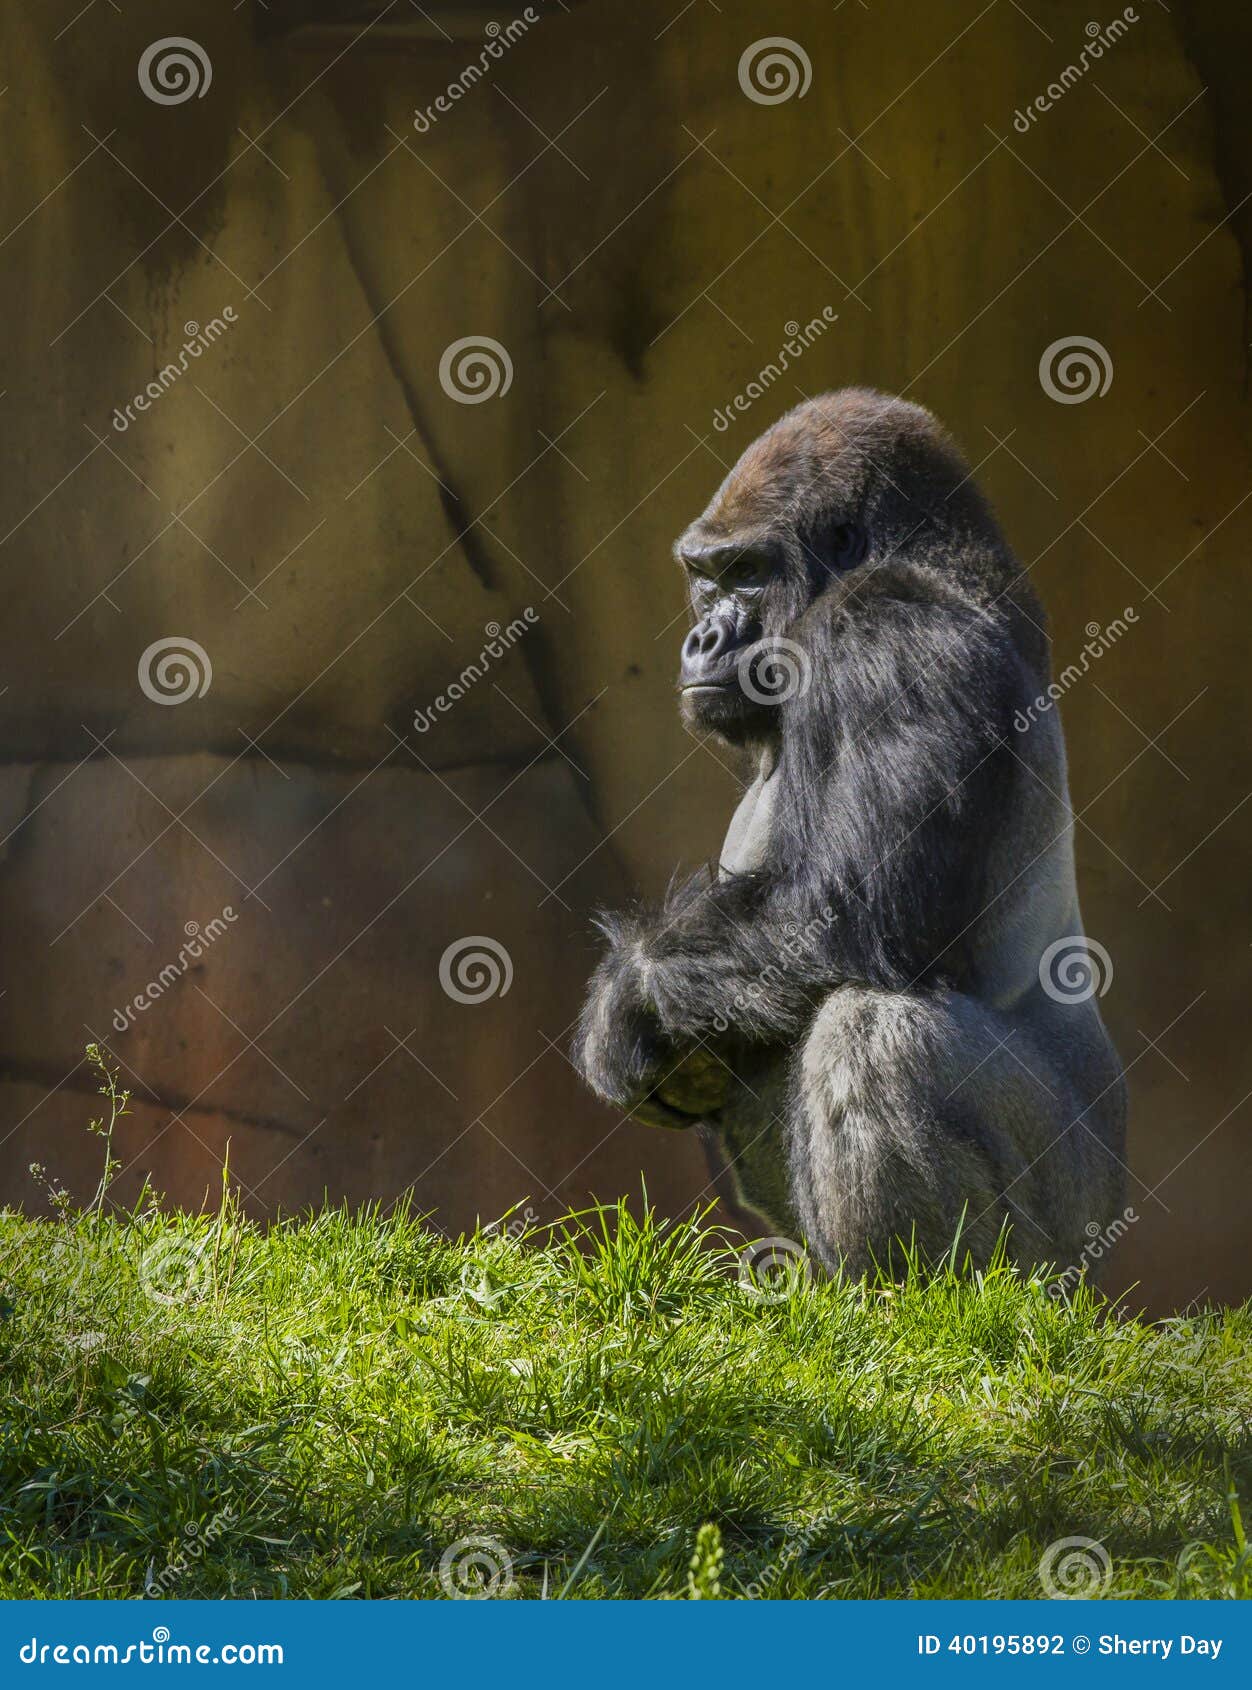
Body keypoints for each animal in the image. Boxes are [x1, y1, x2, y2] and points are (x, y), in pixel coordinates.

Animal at [574, 388, 1127, 1278]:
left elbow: (848, 916)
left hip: (1068, 1235)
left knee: (870, 1030)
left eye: (748, 573)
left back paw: (922, 1289)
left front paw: (620, 1006)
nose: (702, 638)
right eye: (704, 577)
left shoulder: (889, 632)